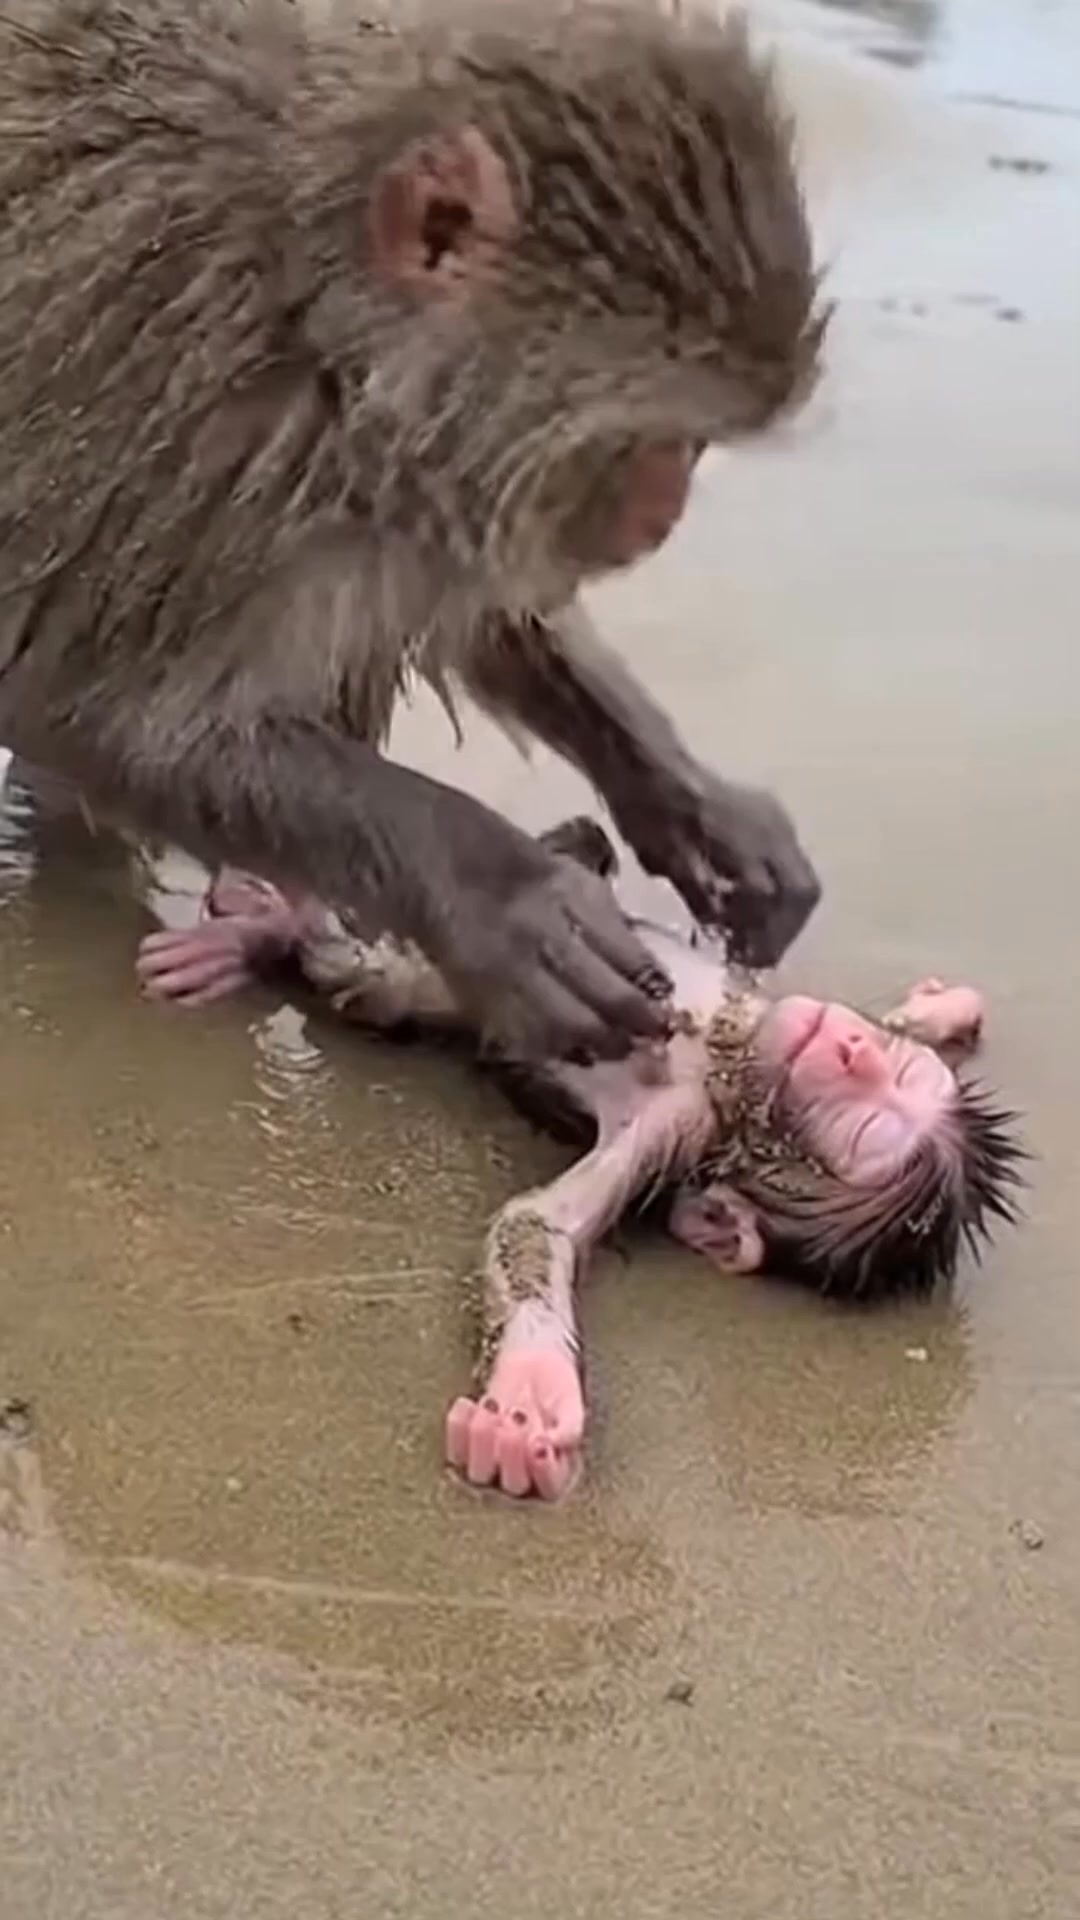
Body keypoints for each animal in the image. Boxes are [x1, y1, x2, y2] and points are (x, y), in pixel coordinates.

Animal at [0, 0, 826, 1064]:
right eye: (654, 437)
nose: (662, 515)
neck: (308, 295)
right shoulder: (162, 394)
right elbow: (83, 708)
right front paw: (494, 892)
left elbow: (482, 600)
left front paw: (695, 808)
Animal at [134, 815, 1024, 1502]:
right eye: (890, 1074)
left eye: (863, 1133)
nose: (850, 1049)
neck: (730, 1051)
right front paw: (941, 1008)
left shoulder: (674, 1128)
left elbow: (535, 1224)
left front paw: (527, 1394)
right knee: (571, 848)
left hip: (391, 982)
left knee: (363, 968)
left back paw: (257, 930)